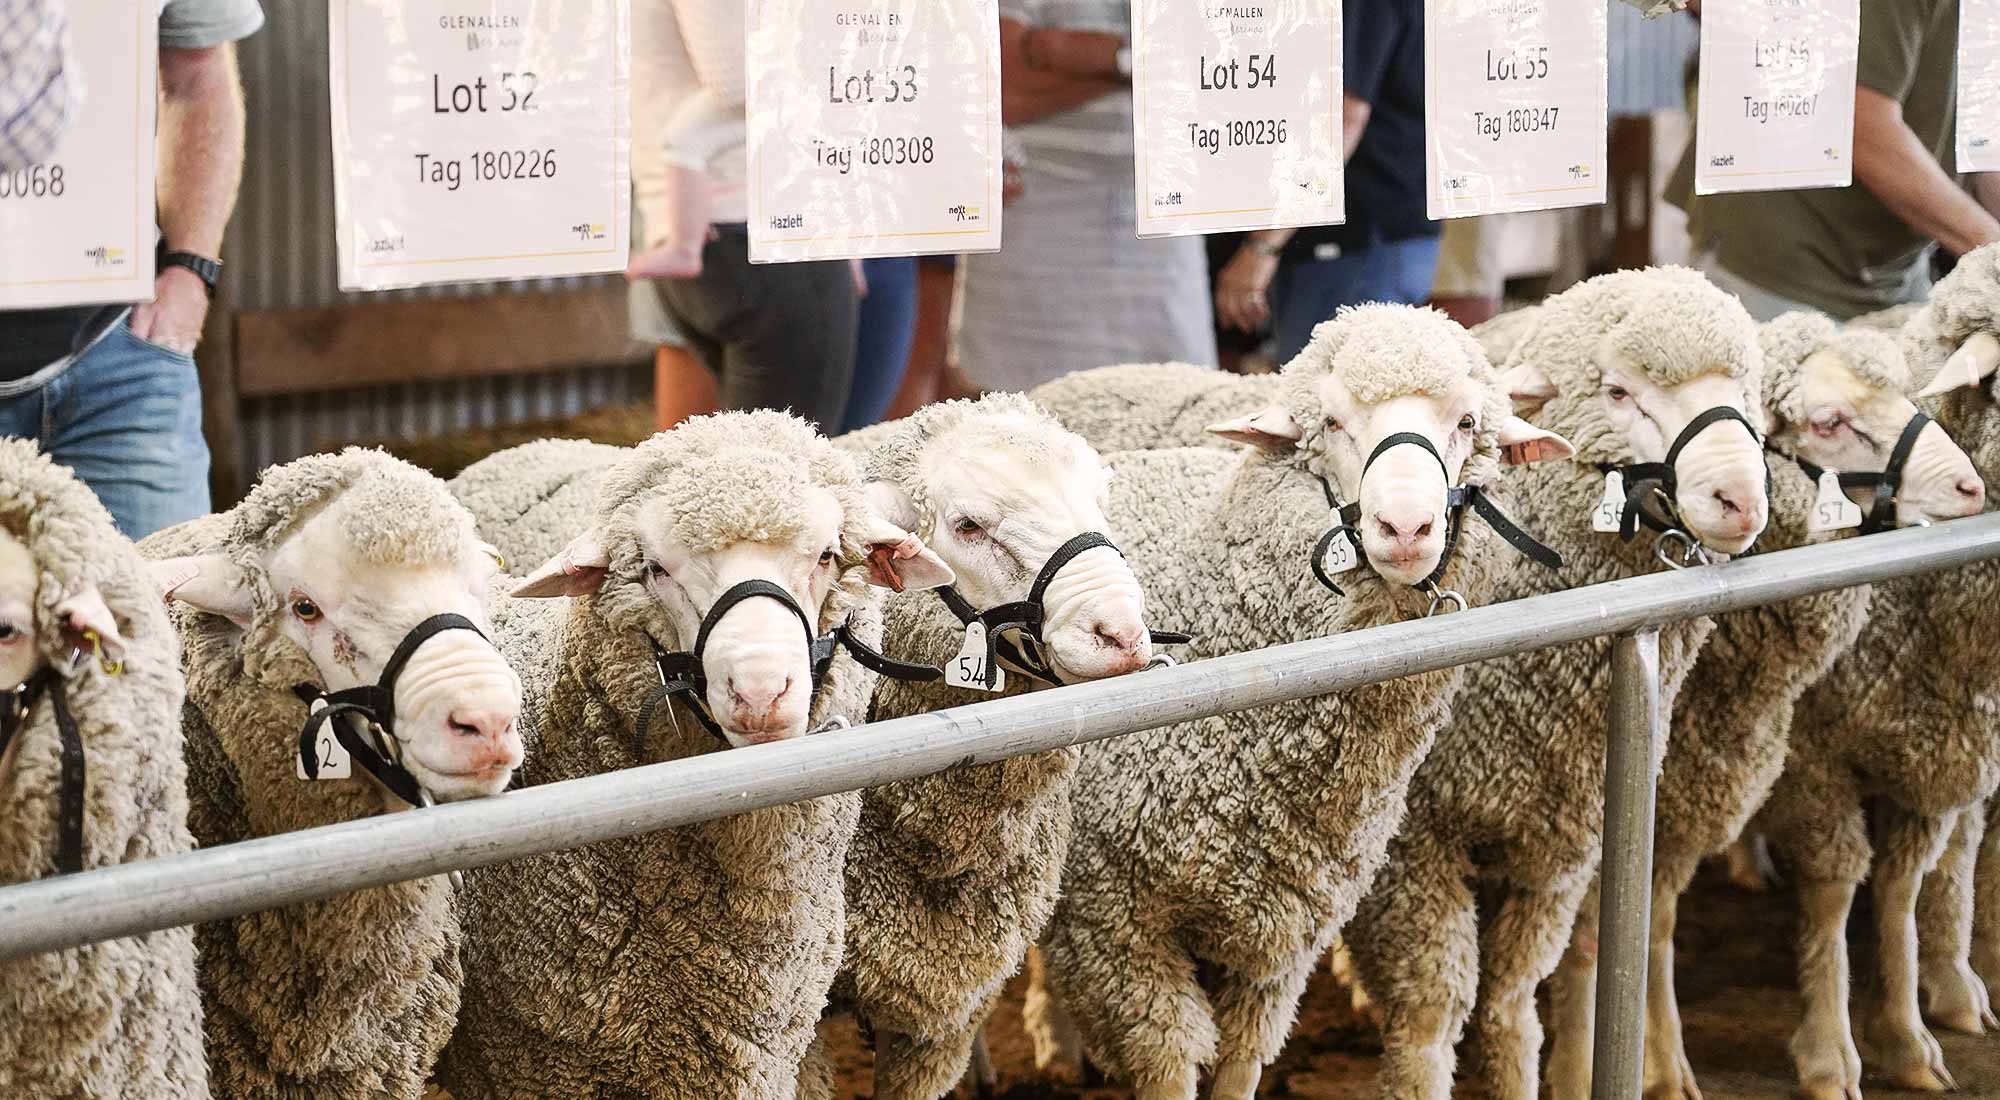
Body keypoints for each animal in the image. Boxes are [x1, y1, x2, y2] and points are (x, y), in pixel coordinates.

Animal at [1032, 303, 1582, 1100]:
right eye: (1329, 422)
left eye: (1468, 423)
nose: (1406, 528)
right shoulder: (1110, 923)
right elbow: (1170, 1061)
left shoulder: (1282, 936)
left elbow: (1238, 1062)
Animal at [1341, 266, 1772, 1100]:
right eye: (1617, 391)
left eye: (1747, 387)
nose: (1741, 500)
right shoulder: (1411, 845)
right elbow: (1433, 1012)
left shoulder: (1560, 839)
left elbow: (1514, 998)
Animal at [1760, 242, 2000, 1100]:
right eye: (1830, 423)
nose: (1968, 487)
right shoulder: (1813, 759)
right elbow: (1836, 892)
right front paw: (1831, 1049)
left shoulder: (1932, 746)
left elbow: (1902, 885)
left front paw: (1904, 1030)